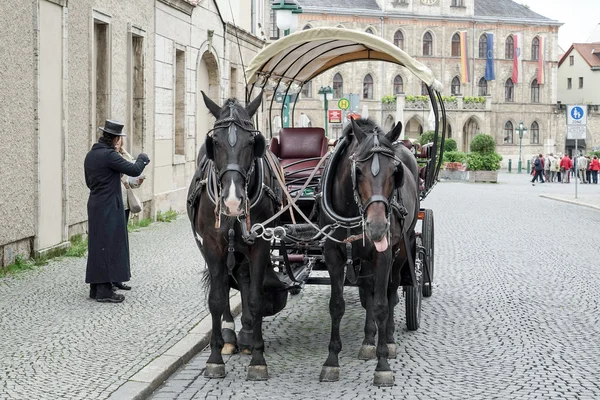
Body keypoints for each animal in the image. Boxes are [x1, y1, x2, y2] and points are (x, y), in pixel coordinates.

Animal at [188, 91, 286, 382]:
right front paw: (215, 358)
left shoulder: (260, 244)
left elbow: (255, 298)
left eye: (252, 142)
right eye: (215, 142)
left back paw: (246, 333)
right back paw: (231, 336)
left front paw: (258, 358)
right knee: (226, 282)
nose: (232, 202)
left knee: (243, 279)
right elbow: (217, 298)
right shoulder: (212, 246)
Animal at [316, 118, 420, 384]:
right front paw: (331, 360)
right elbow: (337, 305)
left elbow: (382, 306)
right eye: (358, 171)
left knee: (391, 290)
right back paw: (368, 341)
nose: (377, 227)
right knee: (368, 291)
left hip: (401, 249)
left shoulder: (383, 255)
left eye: (395, 172)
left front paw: (382, 365)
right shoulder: (333, 255)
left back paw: (389, 339)